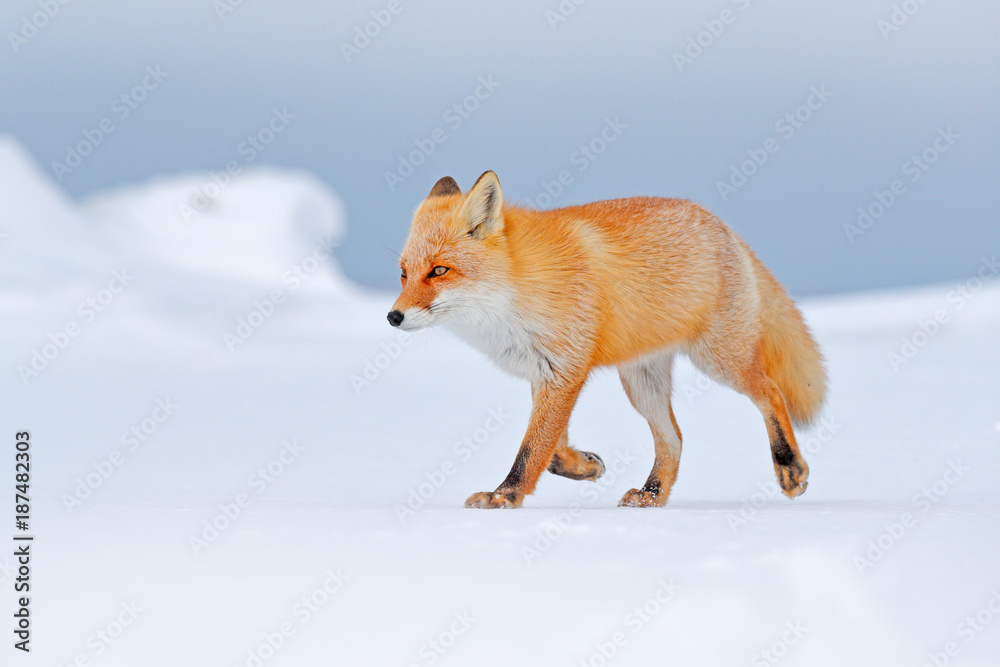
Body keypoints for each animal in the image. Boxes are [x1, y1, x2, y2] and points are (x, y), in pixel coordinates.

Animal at [388, 171, 826, 509]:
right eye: (405, 274)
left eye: (439, 270)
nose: (393, 316)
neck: (514, 293)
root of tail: (724, 228)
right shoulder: (545, 373)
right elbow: (550, 451)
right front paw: (584, 465)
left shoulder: (564, 370)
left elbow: (531, 450)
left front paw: (504, 496)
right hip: (641, 385)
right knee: (675, 439)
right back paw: (652, 495)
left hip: (719, 360)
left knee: (769, 392)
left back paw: (789, 467)